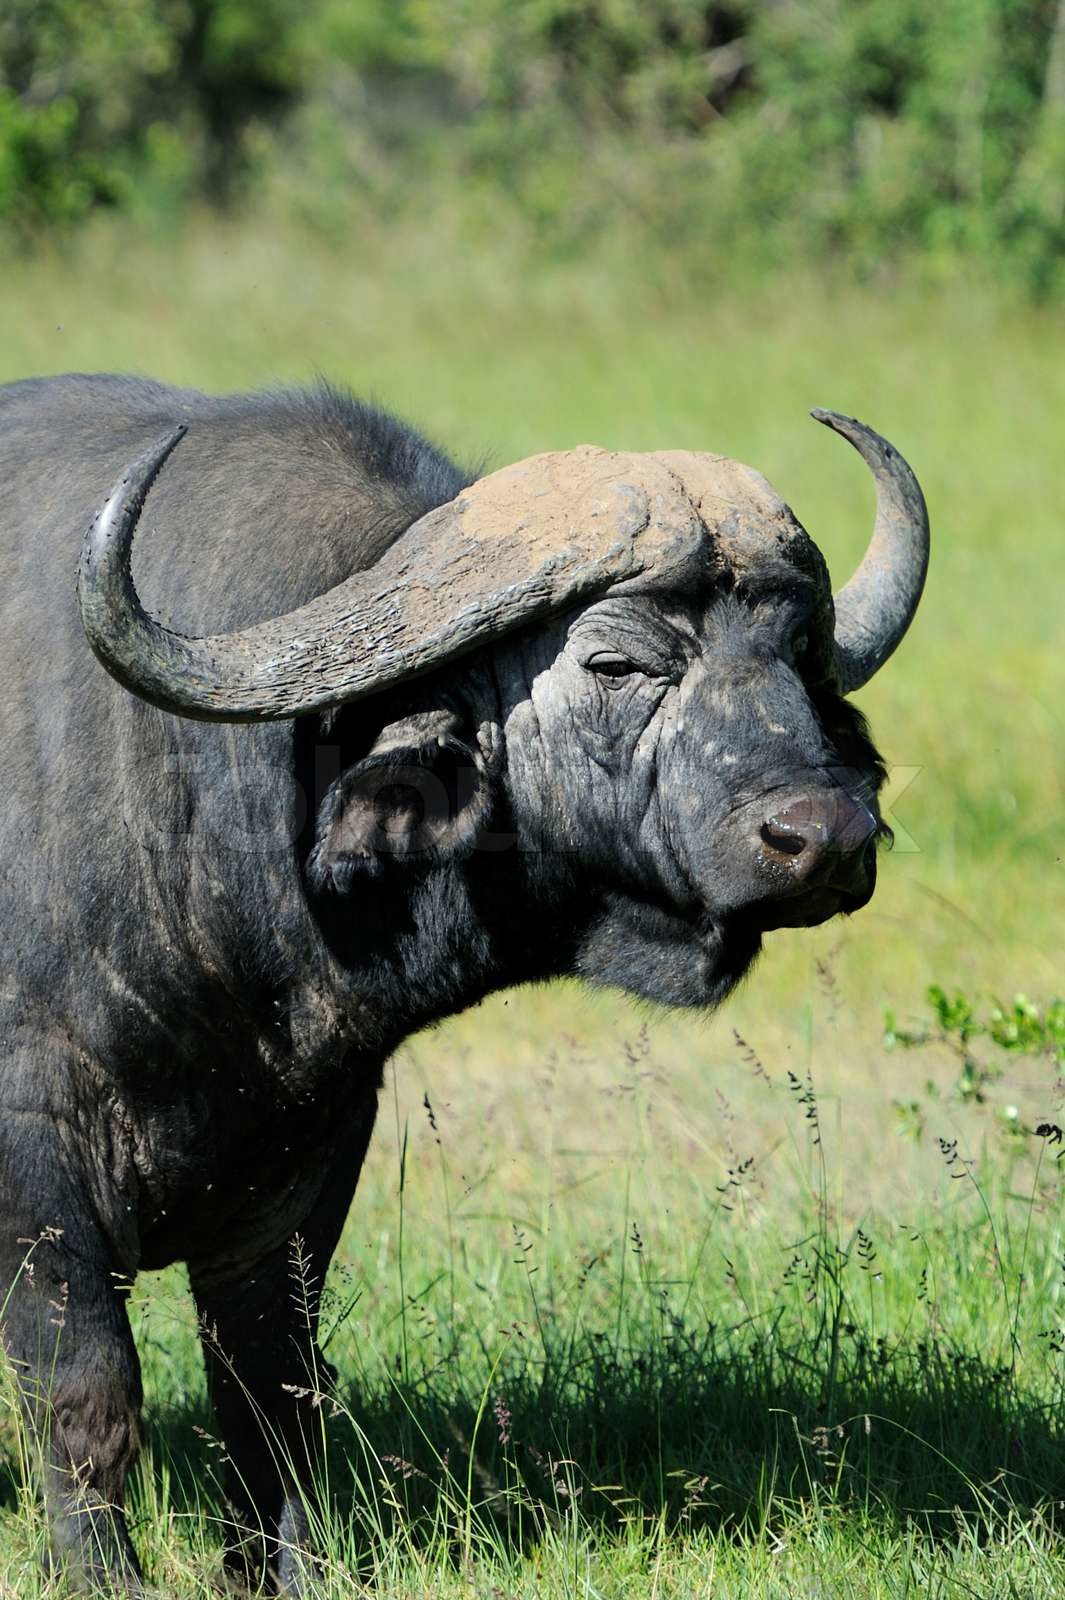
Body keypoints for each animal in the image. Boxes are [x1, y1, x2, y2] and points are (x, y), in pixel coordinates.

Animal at [0, 374, 928, 1592]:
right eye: (615, 664)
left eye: (799, 660)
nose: (824, 837)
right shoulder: (36, 1167)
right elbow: (88, 1393)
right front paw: (101, 1573)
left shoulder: (309, 1153)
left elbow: (273, 1384)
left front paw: (285, 1567)